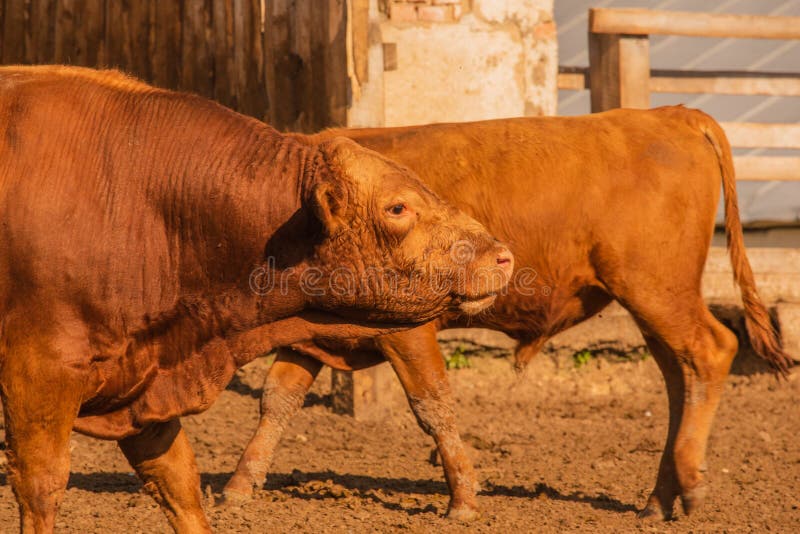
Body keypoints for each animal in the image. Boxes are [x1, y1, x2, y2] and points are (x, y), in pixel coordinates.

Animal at [0, 66, 513, 533]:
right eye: (397, 207)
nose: (502, 256)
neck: (144, 208)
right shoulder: (37, 375)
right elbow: (42, 486)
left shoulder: (143, 381)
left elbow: (178, 482)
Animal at [224, 107, 793, 521]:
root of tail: (668, 114)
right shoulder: (306, 338)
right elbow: (276, 402)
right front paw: (238, 486)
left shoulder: (408, 333)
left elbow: (433, 408)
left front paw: (462, 499)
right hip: (654, 306)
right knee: (680, 380)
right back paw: (659, 498)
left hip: (657, 292)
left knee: (711, 352)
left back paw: (691, 484)